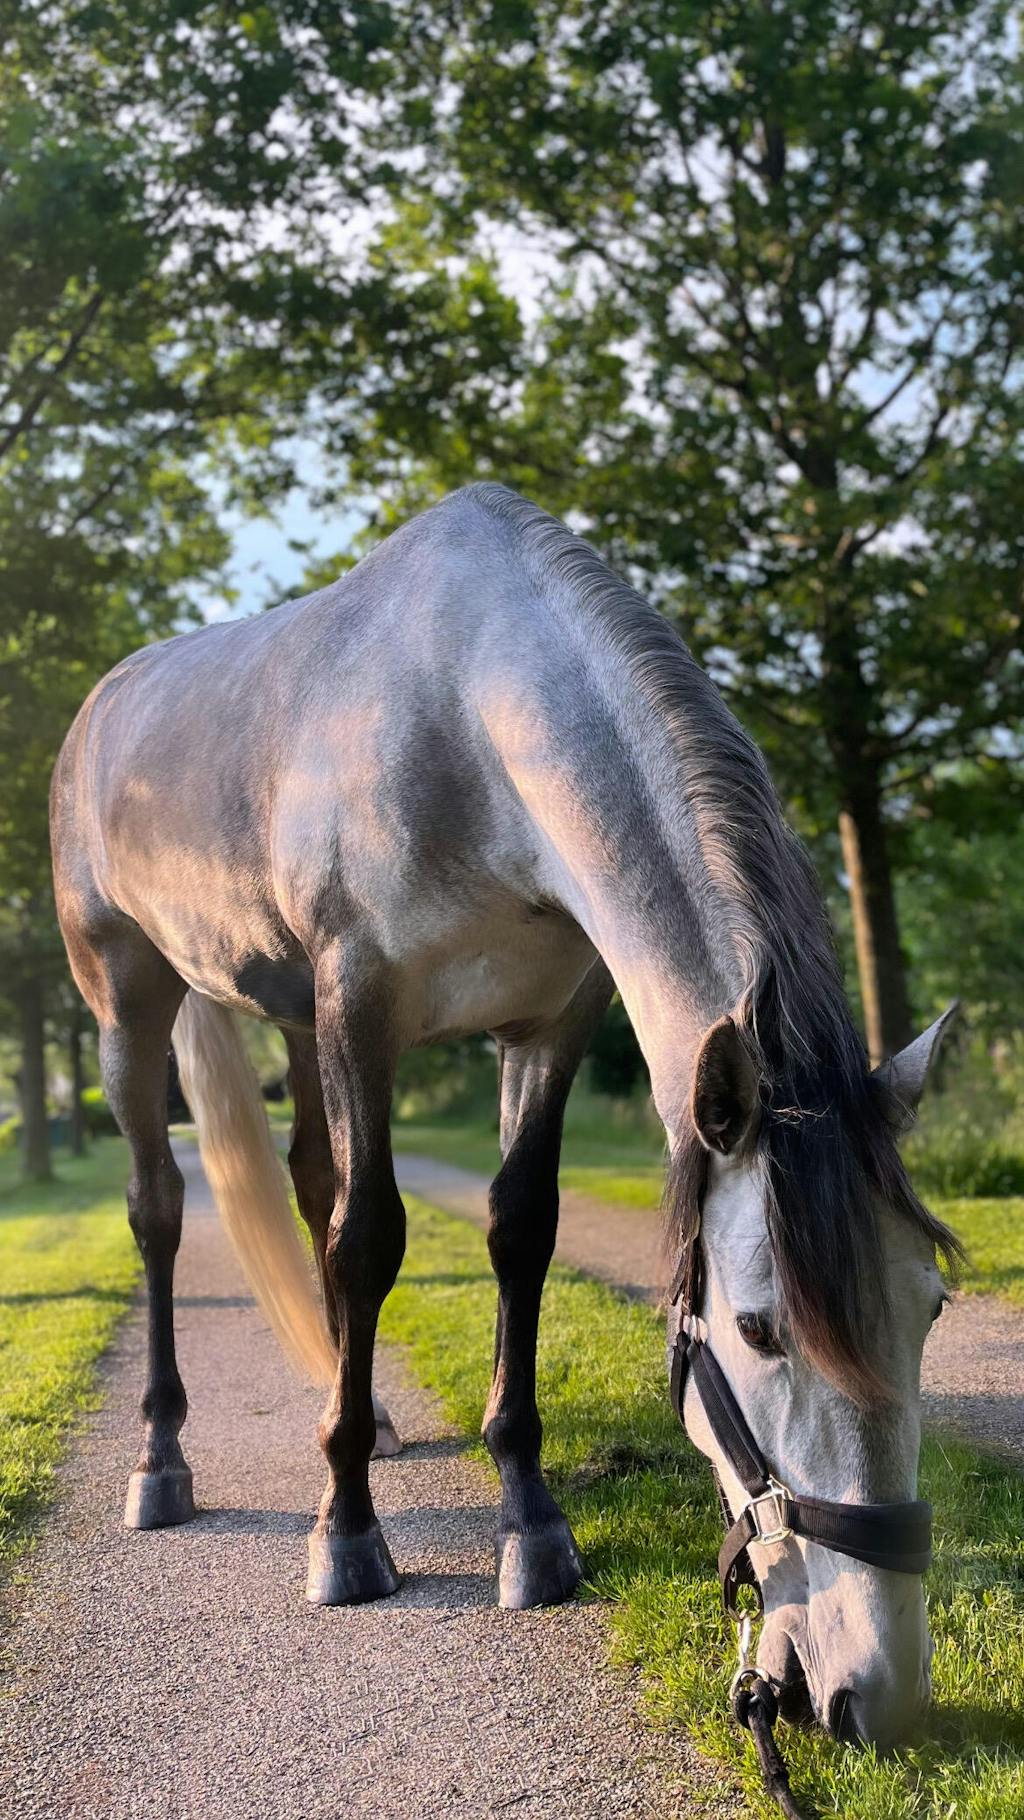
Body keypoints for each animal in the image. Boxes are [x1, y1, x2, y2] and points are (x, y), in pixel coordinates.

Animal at [51, 482, 958, 1751]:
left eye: (931, 1308)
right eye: (759, 1328)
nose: (874, 1690)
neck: (466, 718)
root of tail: (101, 710)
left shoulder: (544, 1025)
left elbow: (517, 1231)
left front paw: (531, 1528)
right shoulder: (361, 1005)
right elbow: (372, 1241)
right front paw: (346, 1532)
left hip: (290, 1021)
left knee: (309, 1177)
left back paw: (362, 1413)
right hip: (129, 1002)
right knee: (162, 1211)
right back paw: (163, 1457)